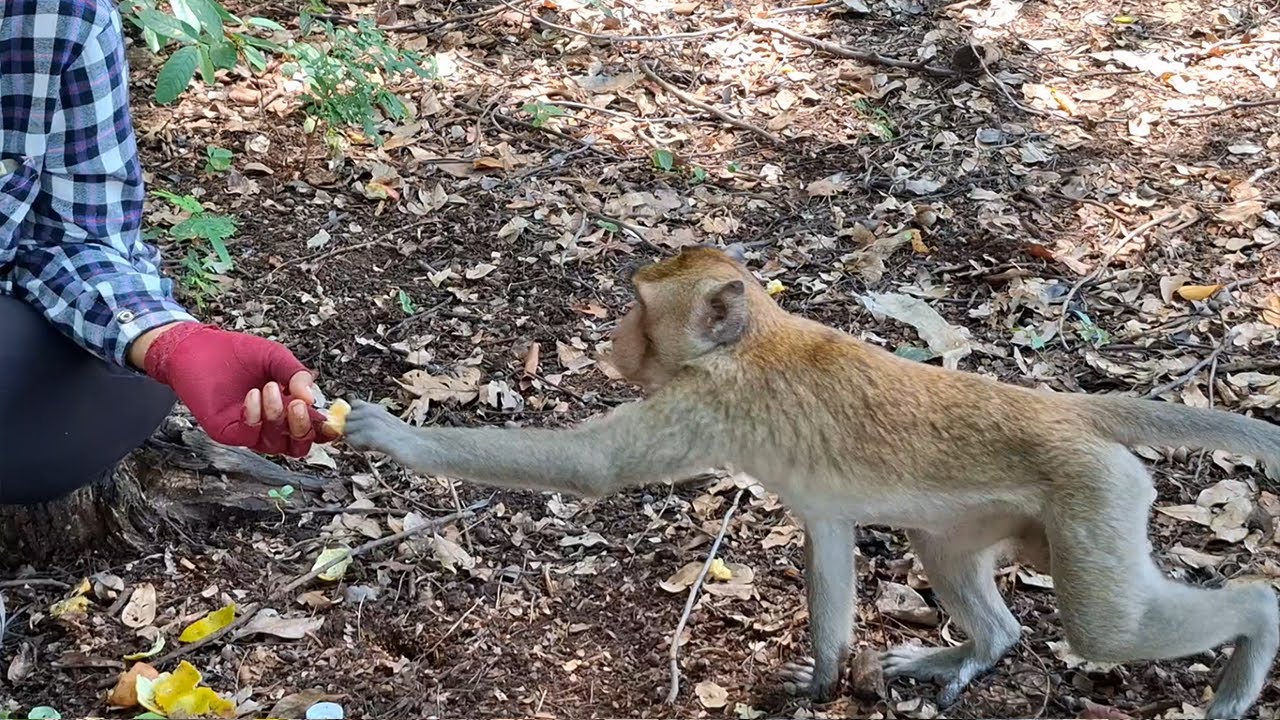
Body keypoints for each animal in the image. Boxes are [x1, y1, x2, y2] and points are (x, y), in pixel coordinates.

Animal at [341, 245, 1280, 718]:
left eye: (639, 309)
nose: (612, 337)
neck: (753, 338)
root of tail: (1073, 411)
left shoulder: (702, 405)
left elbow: (591, 469)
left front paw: (394, 436)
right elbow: (829, 545)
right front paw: (826, 680)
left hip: (1095, 496)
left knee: (1108, 628)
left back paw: (1250, 642)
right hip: (1013, 511)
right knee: (945, 551)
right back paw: (982, 647)